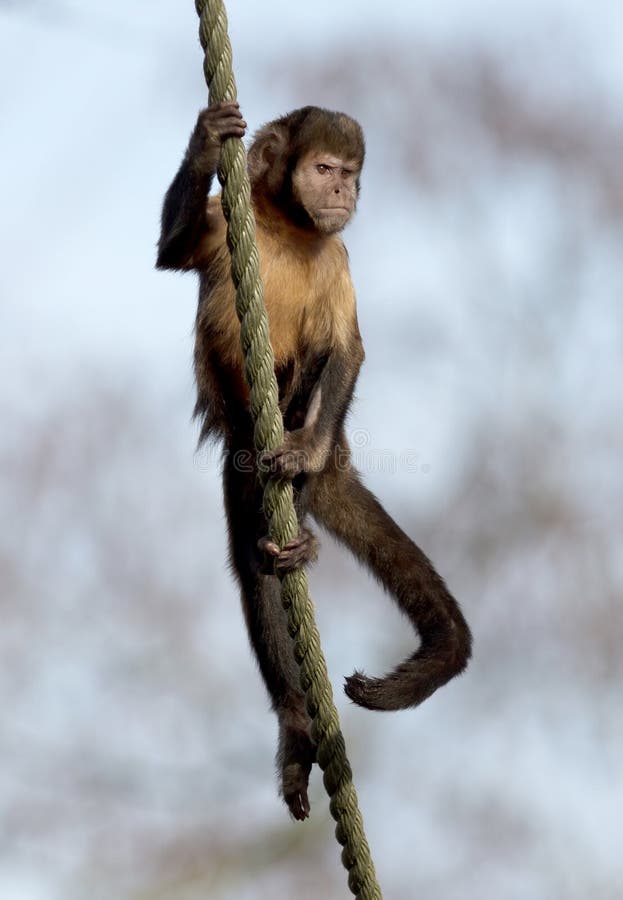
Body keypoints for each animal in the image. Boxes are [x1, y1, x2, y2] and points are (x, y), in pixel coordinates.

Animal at [156, 102, 472, 821]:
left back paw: (298, 504)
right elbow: (168, 252)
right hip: (240, 458)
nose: (343, 192)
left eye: (348, 173)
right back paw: (296, 724)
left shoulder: (338, 254)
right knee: (254, 566)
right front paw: (206, 140)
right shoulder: (220, 222)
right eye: (324, 168)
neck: (287, 225)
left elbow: (347, 351)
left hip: (315, 440)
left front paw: (301, 452)